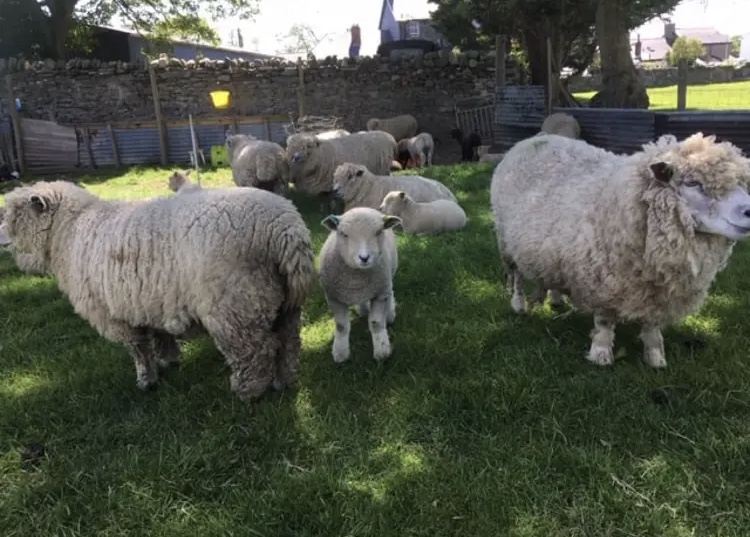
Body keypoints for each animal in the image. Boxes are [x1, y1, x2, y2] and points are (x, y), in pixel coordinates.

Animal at [1, 180, 317, 401]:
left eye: (16, 216)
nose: (0, 238)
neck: (69, 233)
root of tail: (285, 230)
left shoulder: (115, 315)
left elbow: (138, 350)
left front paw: (146, 380)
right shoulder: (149, 302)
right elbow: (160, 336)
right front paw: (168, 359)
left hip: (235, 304)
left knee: (255, 351)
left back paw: (248, 391)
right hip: (282, 301)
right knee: (288, 341)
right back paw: (284, 381)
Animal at [318, 207, 402, 363]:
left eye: (378, 232)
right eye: (344, 234)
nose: (364, 258)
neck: (356, 277)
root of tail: (363, 207)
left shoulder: (380, 293)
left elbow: (376, 323)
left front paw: (382, 352)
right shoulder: (333, 297)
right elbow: (341, 326)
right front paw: (340, 353)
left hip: (387, 278)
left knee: (390, 291)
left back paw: (389, 314)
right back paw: (363, 310)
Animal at [491, 132, 750, 369]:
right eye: (693, 183)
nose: (748, 210)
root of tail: (533, 138)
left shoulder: (657, 292)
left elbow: (652, 326)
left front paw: (656, 358)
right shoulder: (602, 281)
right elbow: (604, 321)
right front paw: (601, 354)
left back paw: (556, 298)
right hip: (505, 241)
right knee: (516, 276)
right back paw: (519, 305)